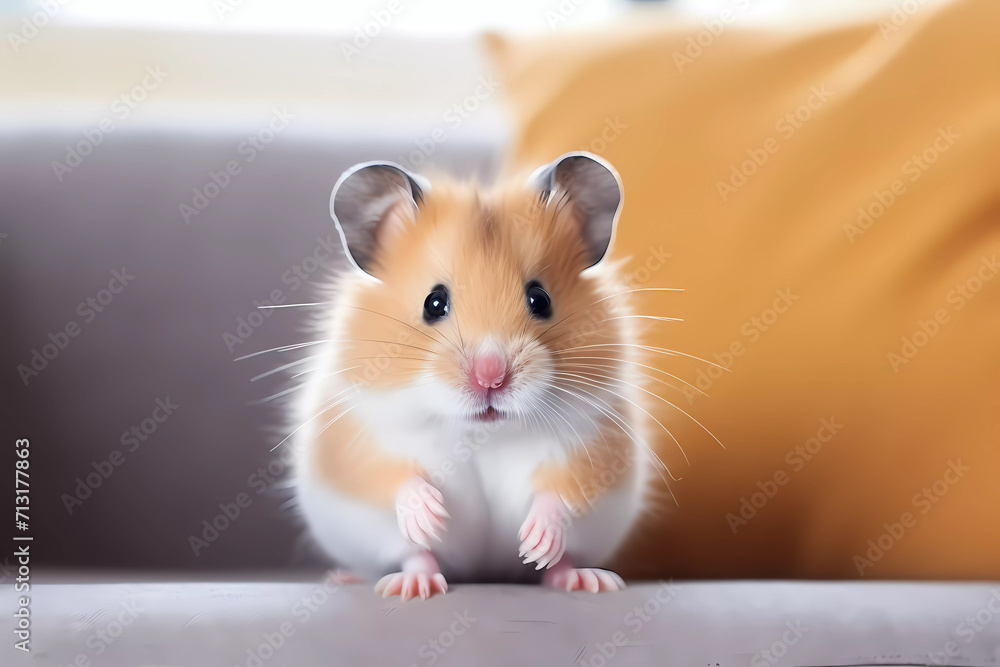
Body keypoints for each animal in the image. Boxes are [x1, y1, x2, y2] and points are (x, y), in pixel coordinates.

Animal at [292, 152, 655, 600]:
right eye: (434, 303)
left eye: (540, 299)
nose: (491, 379)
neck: (483, 434)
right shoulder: (358, 437)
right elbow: (391, 477)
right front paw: (431, 517)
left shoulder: (594, 440)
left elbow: (562, 490)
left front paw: (535, 542)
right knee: (414, 556)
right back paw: (407, 584)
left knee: (563, 560)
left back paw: (583, 579)